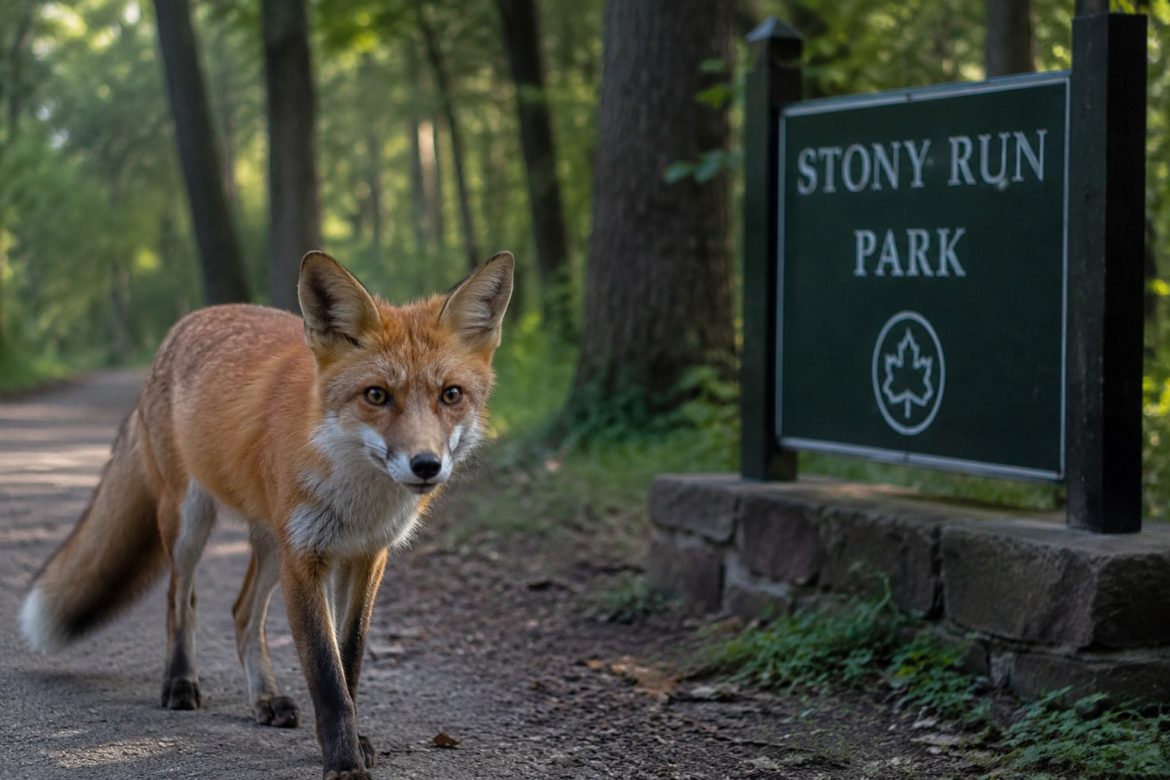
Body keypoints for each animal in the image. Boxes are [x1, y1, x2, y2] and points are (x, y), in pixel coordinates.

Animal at [20, 250, 514, 779]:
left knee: (241, 613)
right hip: (191, 523)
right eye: (376, 395)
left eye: (451, 394)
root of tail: (188, 322)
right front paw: (343, 761)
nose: (426, 465)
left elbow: (349, 659)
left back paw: (266, 699)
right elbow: (325, 673)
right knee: (181, 601)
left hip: (272, 545)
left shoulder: (364, 556)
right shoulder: (306, 559)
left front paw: (350, 742)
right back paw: (180, 682)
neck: (358, 495)